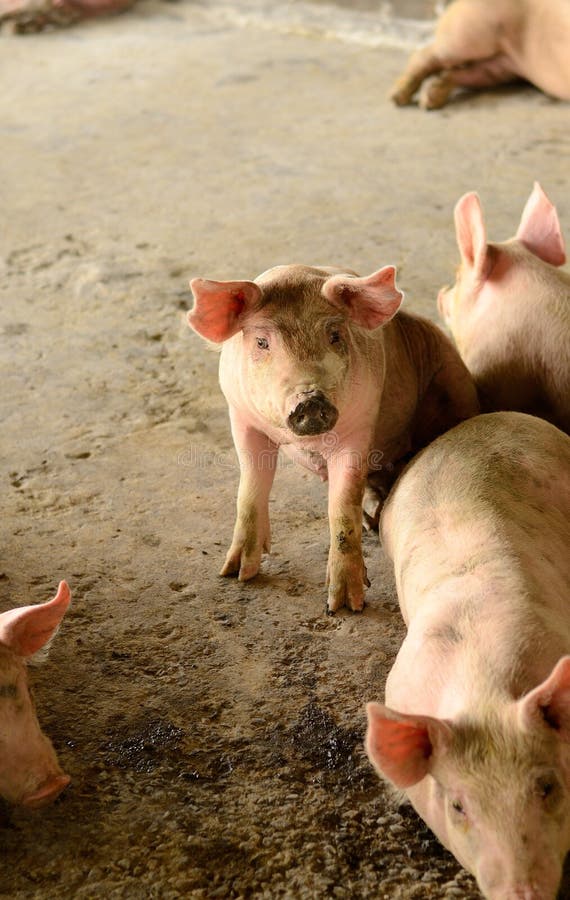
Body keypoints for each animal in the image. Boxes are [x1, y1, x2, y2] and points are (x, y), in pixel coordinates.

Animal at [188, 263, 479, 613]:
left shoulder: (361, 425)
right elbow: (250, 487)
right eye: (261, 342)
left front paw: (344, 606)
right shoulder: (241, 416)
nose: (310, 400)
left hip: (453, 384)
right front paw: (236, 575)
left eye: (335, 336)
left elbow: (341, 505)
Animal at [390, 0, 570, 109]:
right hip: (469, 32)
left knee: (462, 73)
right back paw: (398, 97)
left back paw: (431, 98)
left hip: (499, 69)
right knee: (424, 54)